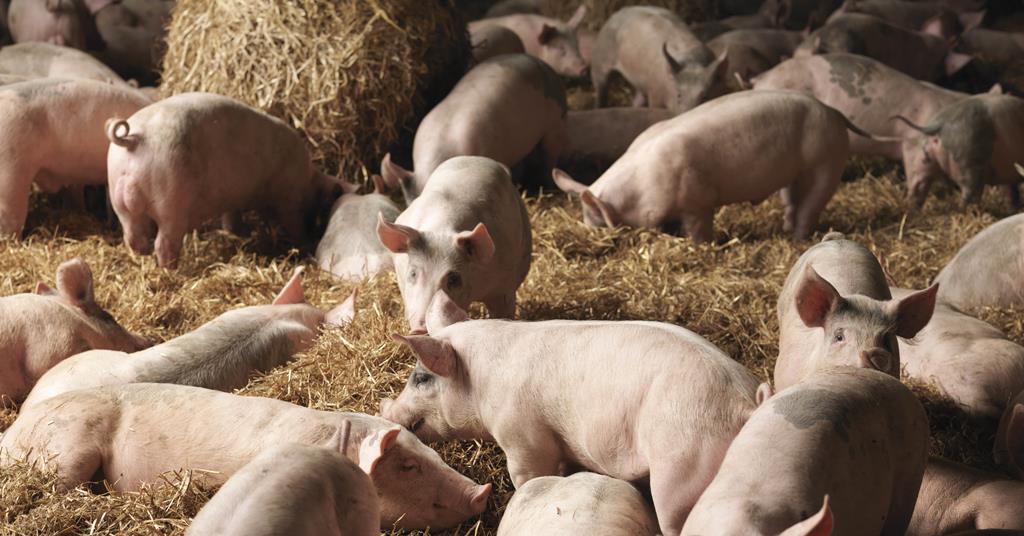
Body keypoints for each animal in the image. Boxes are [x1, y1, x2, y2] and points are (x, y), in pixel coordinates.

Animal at [106, 92, 343, 268]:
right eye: (320, 206)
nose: (315, 232)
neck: (308, 181)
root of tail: (134, 140)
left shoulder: (233, 199)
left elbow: (231, 217)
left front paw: (240, 232)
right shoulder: (290, 199)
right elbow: (294, 224)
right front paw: (305, 244)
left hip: (120, 200)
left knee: (133, 236)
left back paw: (145, 255)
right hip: (171, 201)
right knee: (164, 242)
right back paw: (172, 270)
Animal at [377, 156, 531, 334]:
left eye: (454, 278)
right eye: (413, 273)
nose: (420, 329)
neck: (440, 229)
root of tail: (475, 158)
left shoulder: (503, 288)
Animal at [552, 90, 871, 242]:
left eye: (597, 223)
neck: (643, 185)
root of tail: (833, 112)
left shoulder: (698, 200)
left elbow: (699, 229)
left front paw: (702, 245)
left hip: (827, 161)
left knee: (812, 204)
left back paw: (798, 239)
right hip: (796, 173)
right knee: (793, 202)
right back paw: (787, 230)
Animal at [590, 6, 728, 112]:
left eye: (705, 96)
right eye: (679, 95)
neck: (692, 62)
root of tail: (619, 12)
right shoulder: (655, 93)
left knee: (638, 98)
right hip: (601, 57)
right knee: (600, 86)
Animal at [892, 94, 1024, 209]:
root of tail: (939, 124)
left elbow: (1012, 191)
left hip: (923, 159)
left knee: (917, 186)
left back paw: (912, 212)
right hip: (968, 160)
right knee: (969, 195)